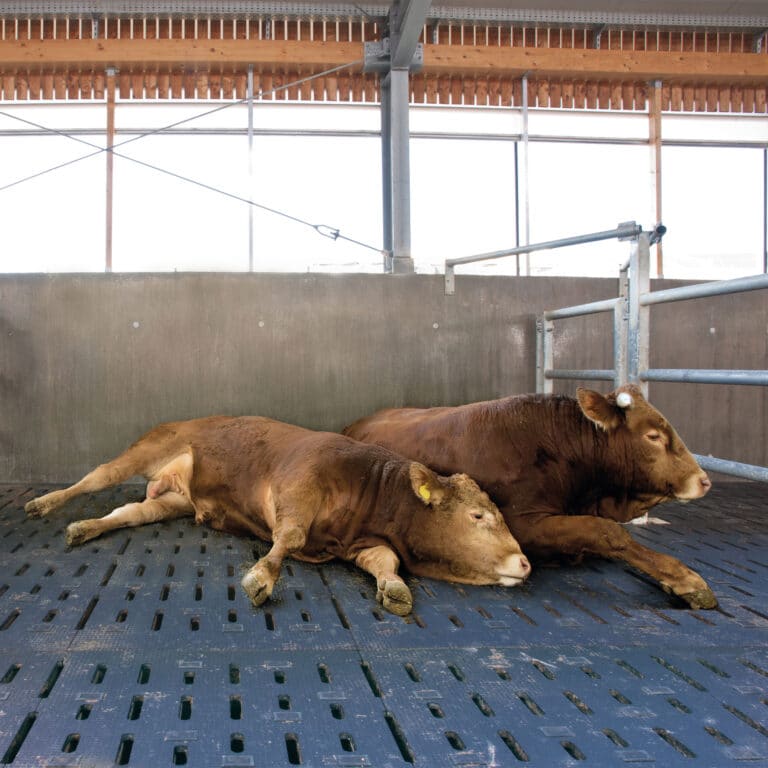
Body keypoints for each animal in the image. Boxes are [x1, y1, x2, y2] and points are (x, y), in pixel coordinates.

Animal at [24, 416, 530, 616]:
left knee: (131, 512)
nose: (525, 563)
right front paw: (261, 577)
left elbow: (384, 561)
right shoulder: (297, 488)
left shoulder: (363, 543)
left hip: (173, 499)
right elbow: (289, 537)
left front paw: (395, 588)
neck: (369, 492)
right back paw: (46, 504)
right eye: (478, 516)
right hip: (147, 448)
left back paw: (85, 528)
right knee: (98, 477)